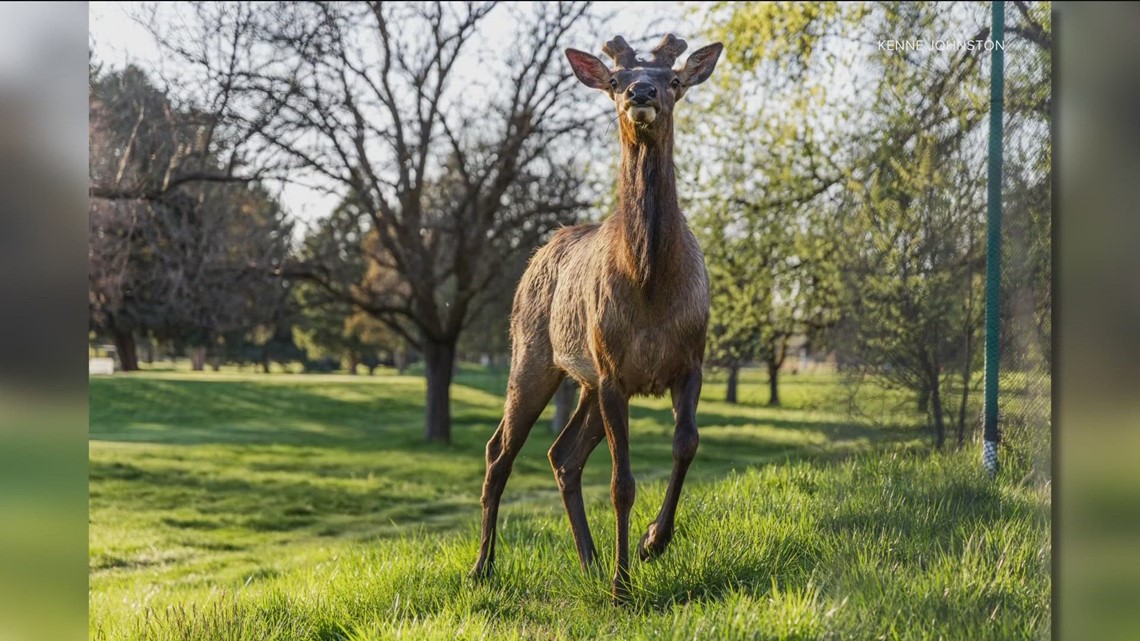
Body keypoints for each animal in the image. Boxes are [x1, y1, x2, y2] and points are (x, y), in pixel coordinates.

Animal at [470, 33, 723, 602]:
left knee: (562, 455)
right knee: (500, 450)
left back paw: (587, 559)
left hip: (582, 380)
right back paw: (482, 568)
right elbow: (621, 483)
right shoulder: (613, 372)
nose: (641, 91)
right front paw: (622, 586)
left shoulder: (691, 360)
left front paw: (653, 542)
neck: (652, 290)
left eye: (675, 79)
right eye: (614, 80)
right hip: (533, 355)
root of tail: (539, 253)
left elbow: (687, 444)